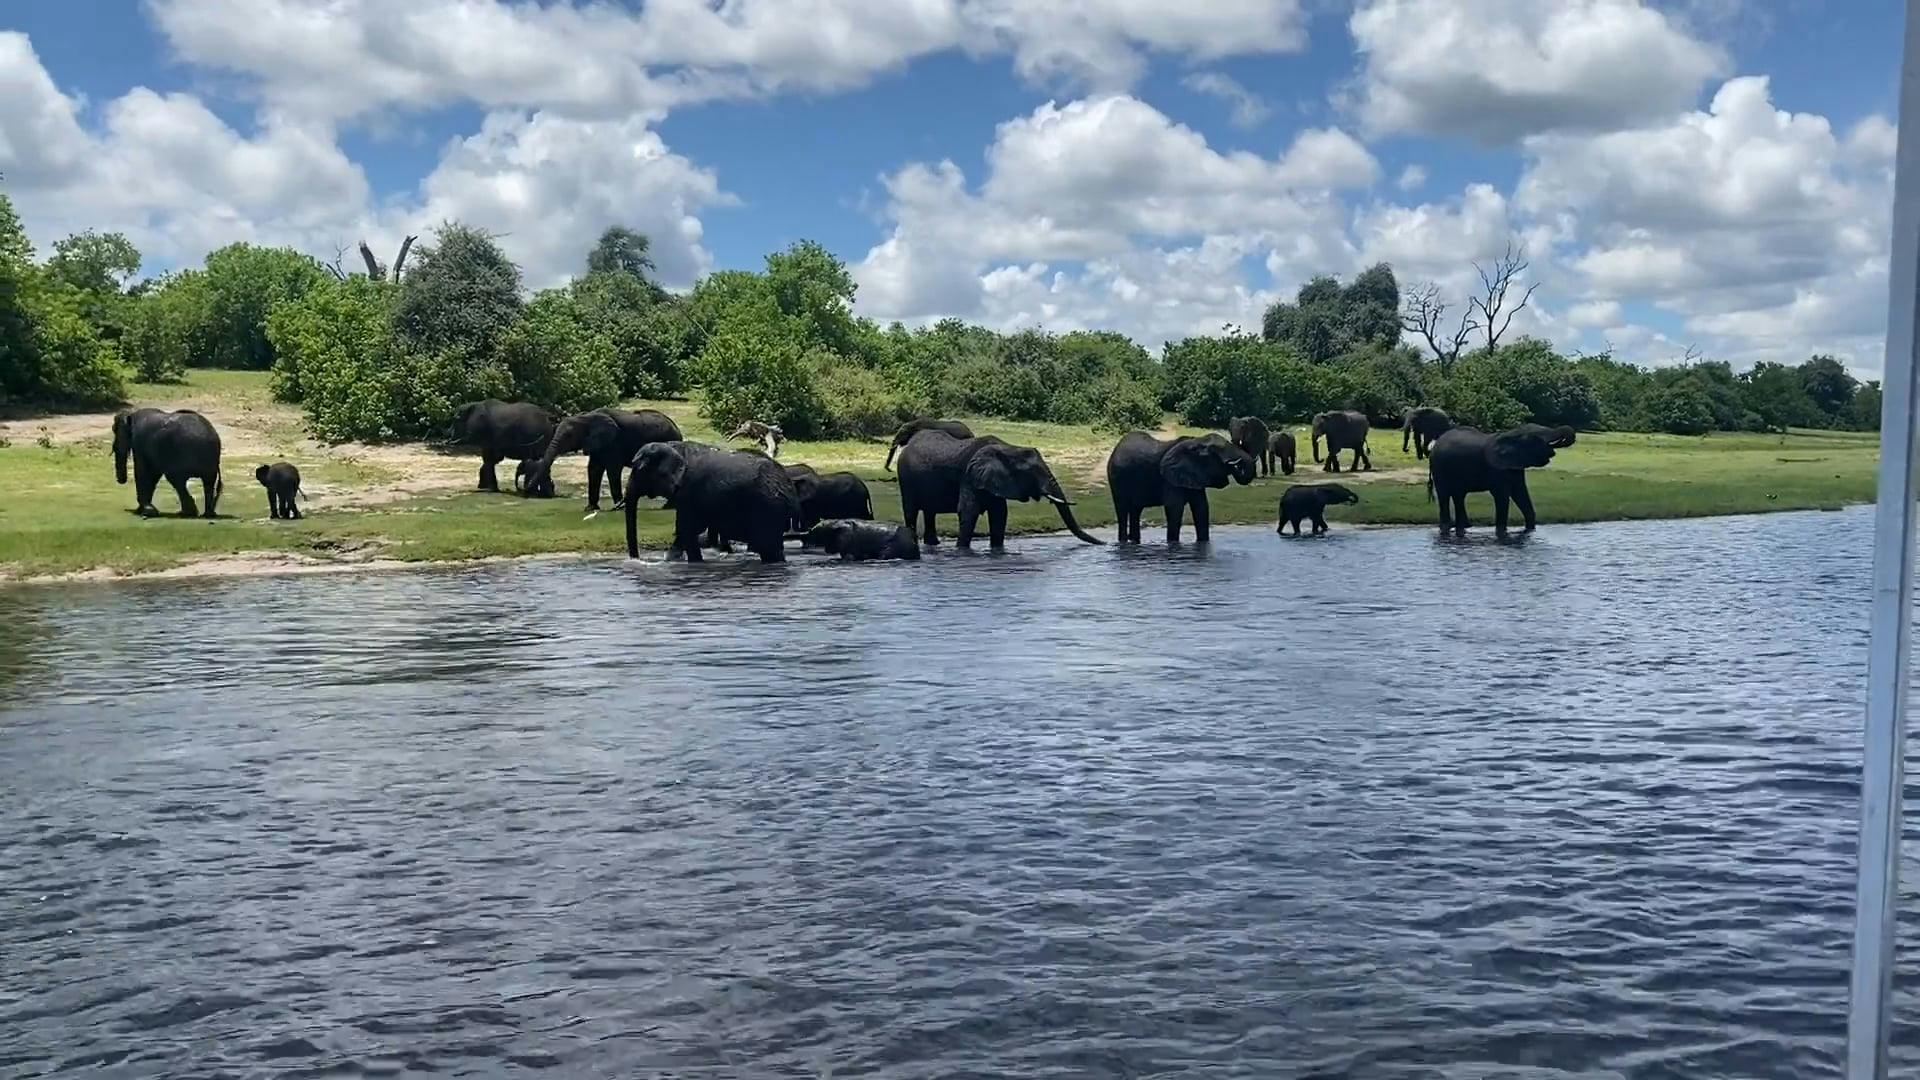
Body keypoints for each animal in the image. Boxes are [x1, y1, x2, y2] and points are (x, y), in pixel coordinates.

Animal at [524, 407, 683, 512]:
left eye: (569, 436)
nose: (527, 493)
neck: (586, 417)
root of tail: (677, 429)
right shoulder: (596, 444)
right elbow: (594, 469)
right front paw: (590, 508)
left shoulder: (614, 442)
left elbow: (613, 469)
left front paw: (619, 507)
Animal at [624, 441, 801, 563]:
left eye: (638, 469)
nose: (636, 559)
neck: (673, 447)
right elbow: (685, 530)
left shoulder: (689, 490)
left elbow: (687, 529)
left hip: (768, 508)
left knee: (768, 546)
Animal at [895, 430, 1103, 549]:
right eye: (1032, 473)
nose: (1105, 543)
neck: (1009, 448)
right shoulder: (969, 476)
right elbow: (969, 512)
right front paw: (961, 551)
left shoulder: (994, 481)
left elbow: (999, 514)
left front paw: (997, 552)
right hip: (905, 478)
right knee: (910, 511)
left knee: (929, 512)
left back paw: (932, 545)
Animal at [1105, 431, 1255, 544]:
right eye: (1218, 451)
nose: (1238, 465)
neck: (1195, 442)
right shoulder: (1169, 479)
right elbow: (1174, 509)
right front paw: (1173, 544)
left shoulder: (1194, 476)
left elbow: (1201, 508)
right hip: (1116, 478)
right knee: (1122, 510)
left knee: (1136, 510)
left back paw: (1134, 541)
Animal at [1426, 424, 1575, 536]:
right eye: (1536, 438)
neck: (1512, 435)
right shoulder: (1496, 468)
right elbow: (1503, 496)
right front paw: (1501, 533)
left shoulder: (1515, 466)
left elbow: (1520, 494)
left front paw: (1530, 531)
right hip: (1439, 468)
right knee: (1444, 495)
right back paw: (1447, 528)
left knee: (1459, 496)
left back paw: (1464, 527)